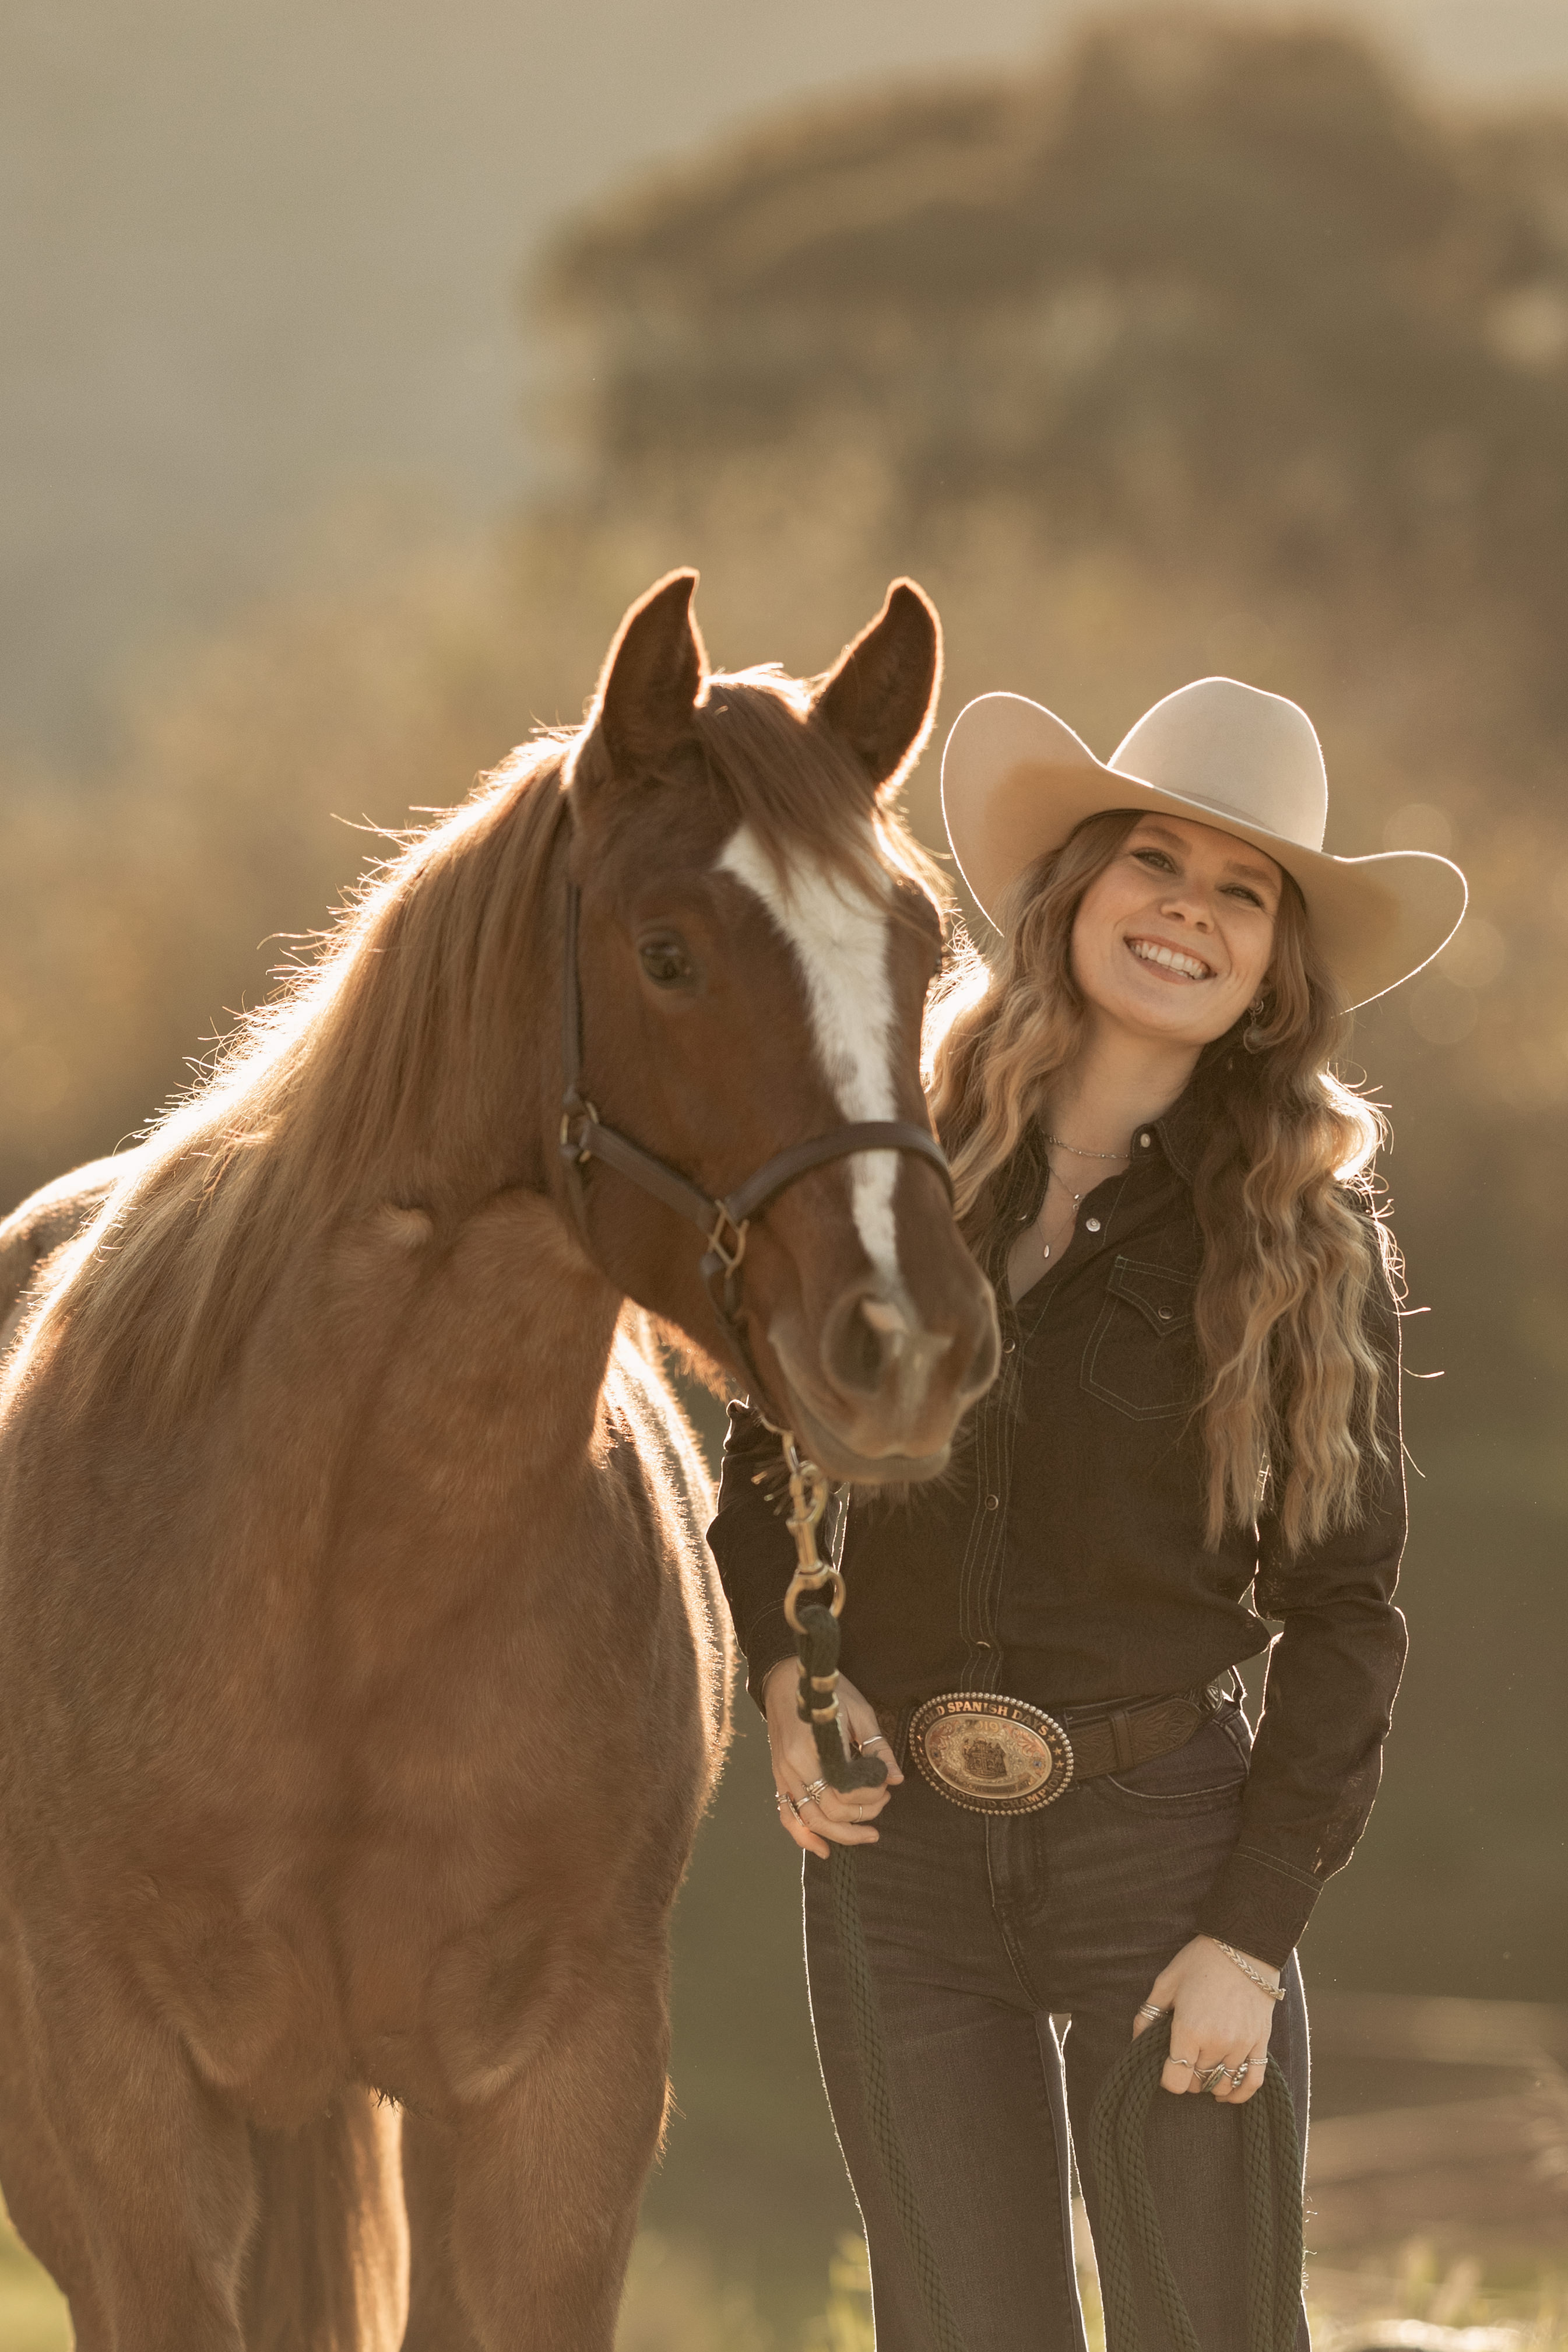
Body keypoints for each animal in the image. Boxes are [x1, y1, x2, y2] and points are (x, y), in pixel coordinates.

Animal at [0, 568, 999, 2349]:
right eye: (666, 953)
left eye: (917, 940)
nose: (913, 1340)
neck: (342, 1601)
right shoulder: (123, 2112)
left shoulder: (559, 2101)